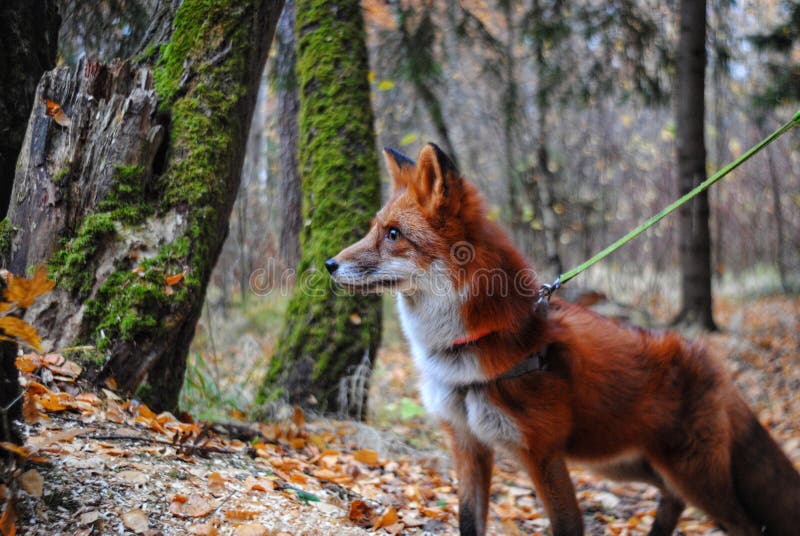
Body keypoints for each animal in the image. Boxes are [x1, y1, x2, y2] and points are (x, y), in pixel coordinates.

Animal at [325, 142, 800, 536]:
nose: (329, 264)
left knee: (746, 524)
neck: (465, 347)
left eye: (393, 235)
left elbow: (568, 526)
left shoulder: (542, 454)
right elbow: (468, 523)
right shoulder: (467, 444)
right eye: (374, 230)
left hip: (689, 475)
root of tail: (711, 361)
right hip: (626, 463)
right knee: (673, 500)